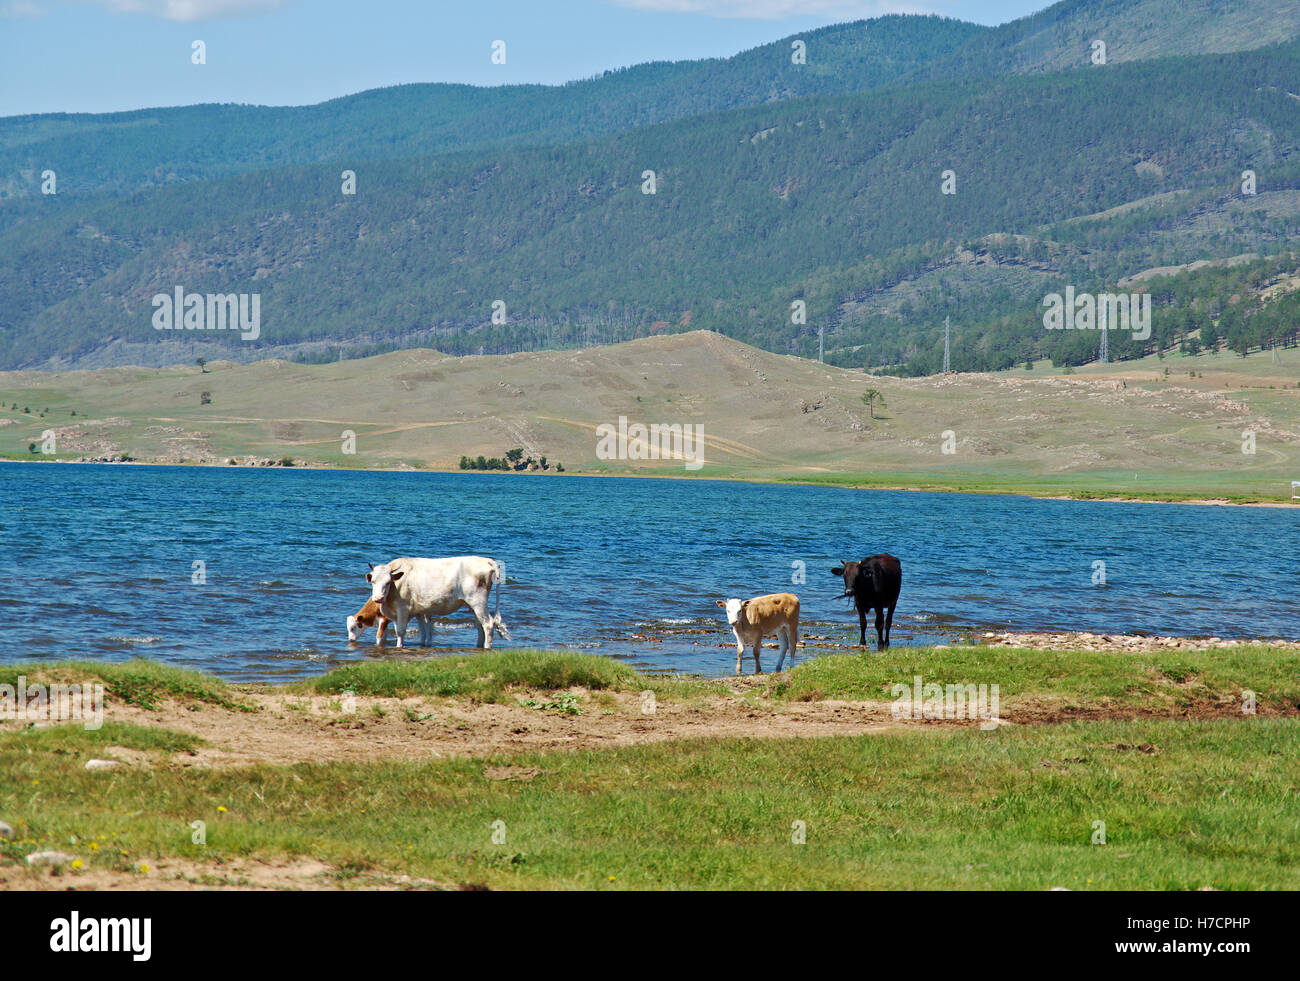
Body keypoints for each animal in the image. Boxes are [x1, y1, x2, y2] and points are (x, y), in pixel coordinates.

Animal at [366, 556, 508, 649]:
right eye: (373, 581)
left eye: (388, 582)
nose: (378, 598)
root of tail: (486, 560)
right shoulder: (414, 611)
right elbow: (422, 631)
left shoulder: (403, 609)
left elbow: (400, 631)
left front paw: (399, 647)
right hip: (473, 606)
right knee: (479, 625)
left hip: (478, 602)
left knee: (488, 624)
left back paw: (487, 648)